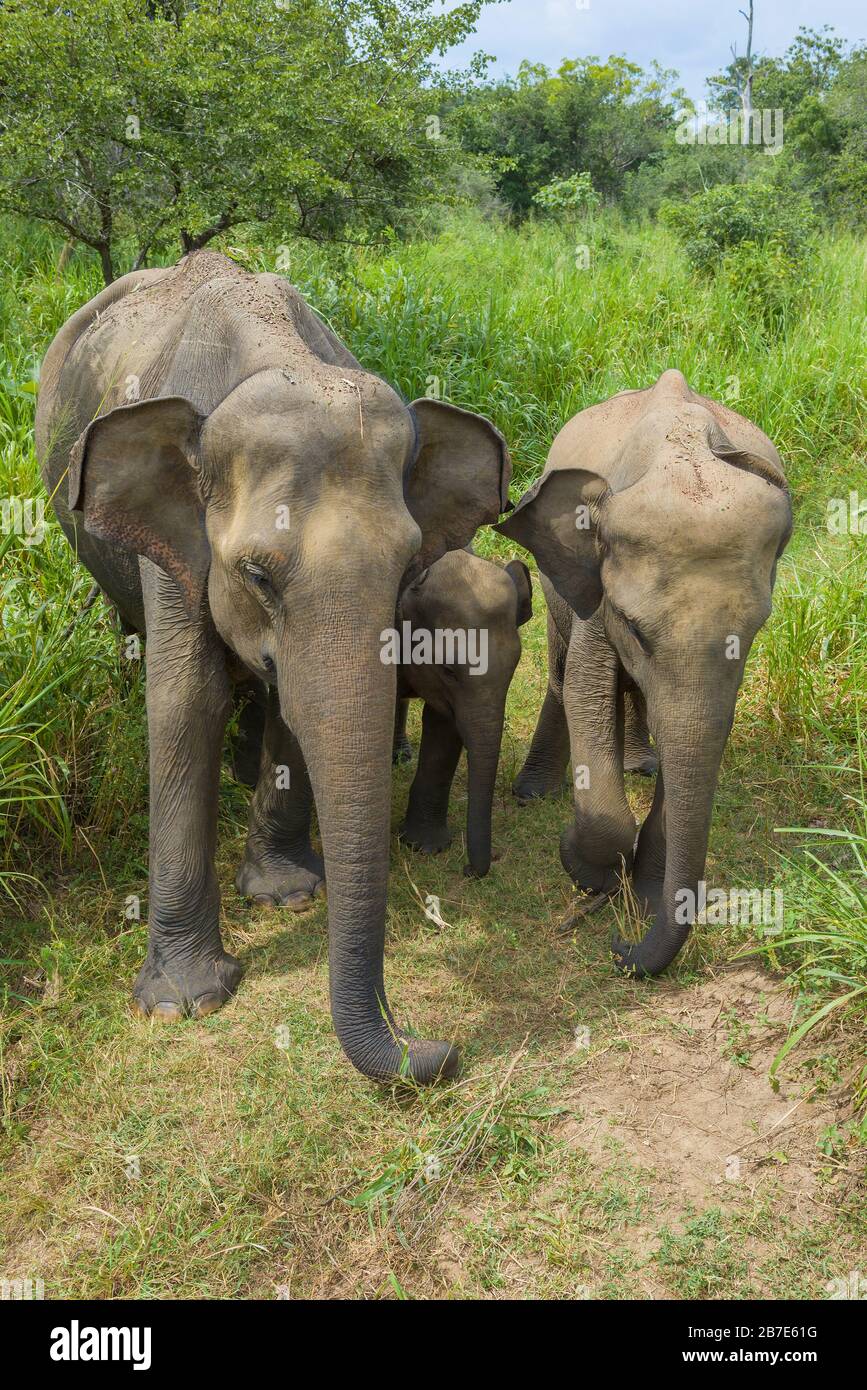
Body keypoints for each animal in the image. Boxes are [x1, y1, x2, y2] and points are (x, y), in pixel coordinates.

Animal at [36, 249, 511, 1084]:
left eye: (404, 573)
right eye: (256, 574)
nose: (439, 1050)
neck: (280, 362)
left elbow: (291, 691)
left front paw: (286, 896)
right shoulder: (178, 546)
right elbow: (185, 701)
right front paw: (182, 1003)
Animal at [496, 369, 792, 977]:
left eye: (754, 631)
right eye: (633, 627)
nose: (621, 948)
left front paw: (648, 894)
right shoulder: (597, 587)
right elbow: (587, 689)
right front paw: (588, 874)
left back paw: (640, 763)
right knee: (560, 673)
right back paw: (534, 792)